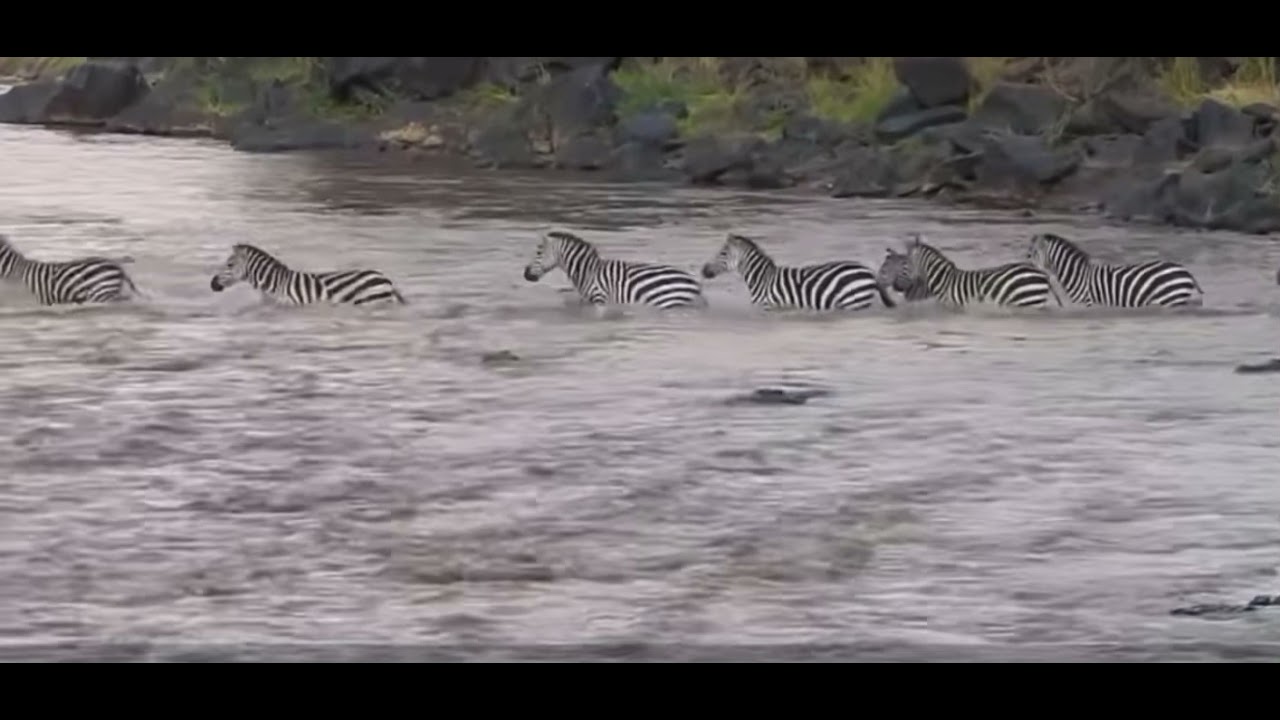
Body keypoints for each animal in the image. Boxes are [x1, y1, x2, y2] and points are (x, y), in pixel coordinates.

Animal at [522, 230, 705, 308]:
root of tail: (695, 284)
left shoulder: (600, 299)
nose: (525, 274)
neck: (588, 272)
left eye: (538, 252)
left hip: (668, 301)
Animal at [700, 232, 896, 310]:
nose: (703, 270)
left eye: (723, 253)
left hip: (853, 302)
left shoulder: (767, 307)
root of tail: (869, 270)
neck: (762, 279)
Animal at [878, 234, 1060, 309]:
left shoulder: (950, 306)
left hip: (1028, 301)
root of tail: (1042, 274)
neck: (943, 281)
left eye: (904, 265)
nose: (897, 288)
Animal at [1025, 232, 1204, 308]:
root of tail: (1186, 271)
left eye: (1031, 254)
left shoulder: (1088, 303)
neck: (1078, 276)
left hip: (1171, 298)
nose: (1031, 274)